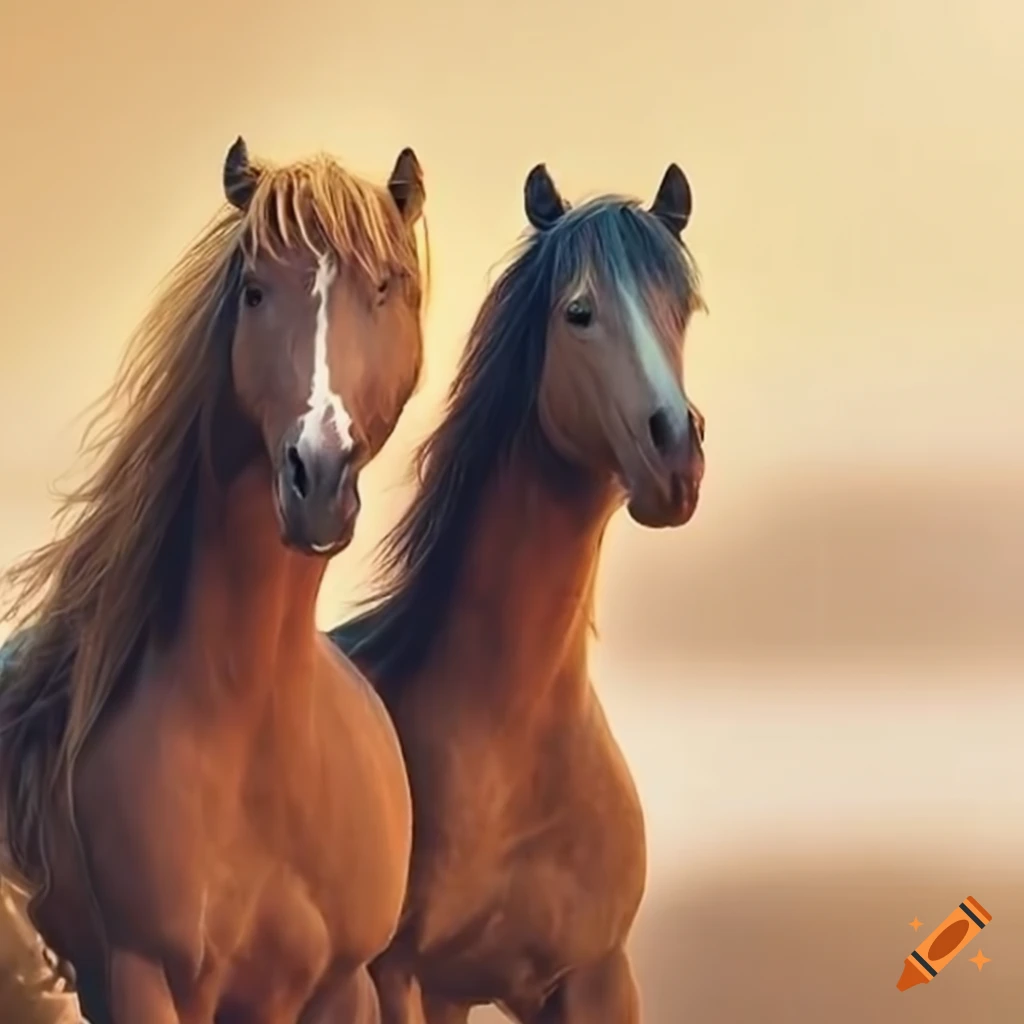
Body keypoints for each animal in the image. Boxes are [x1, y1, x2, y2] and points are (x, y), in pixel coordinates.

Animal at [0, 135, 428, 1023]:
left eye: (384, 285)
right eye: (255, 290)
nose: (317, 475)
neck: (256, 724)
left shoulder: (339, 985)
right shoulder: (147, 976)